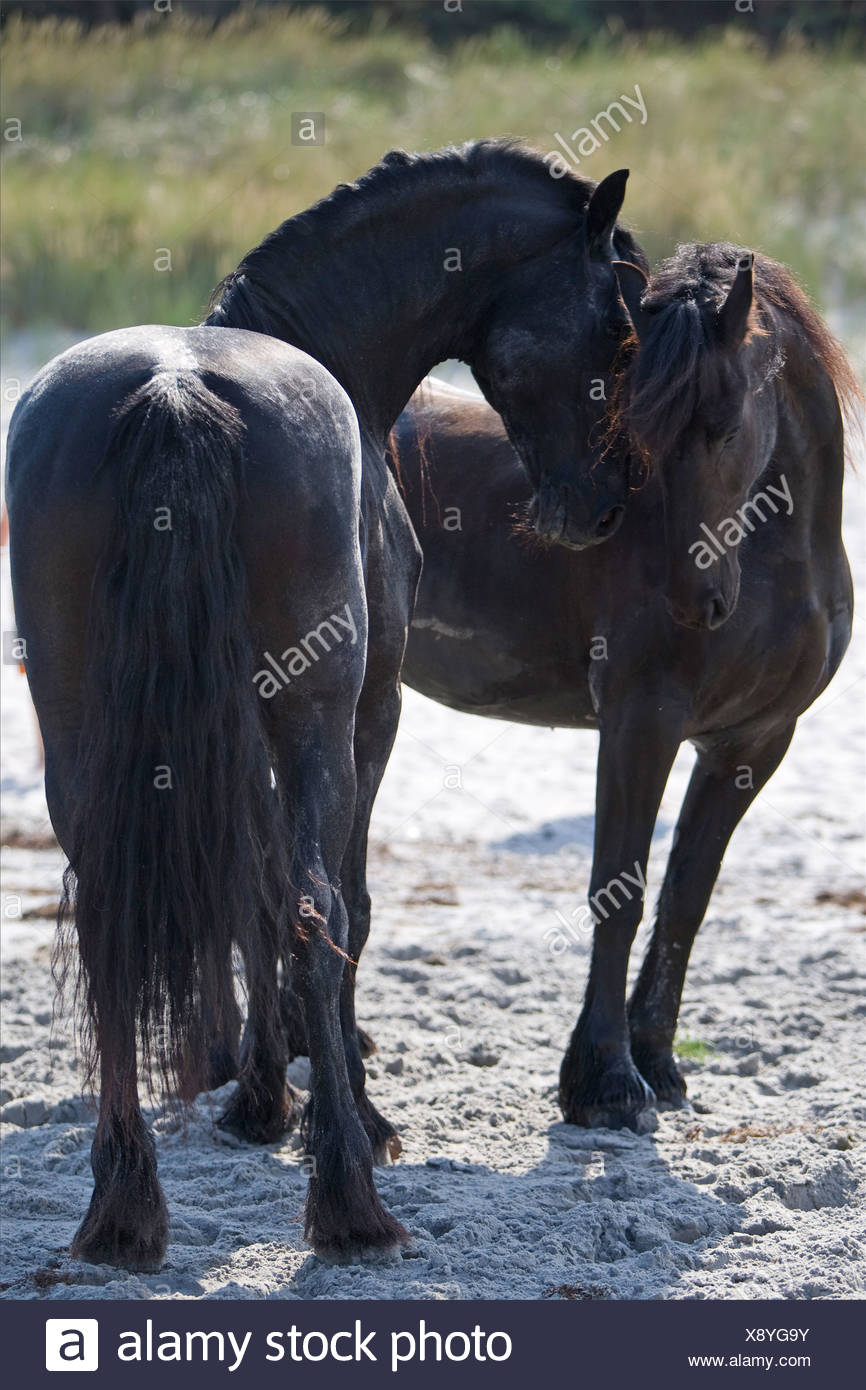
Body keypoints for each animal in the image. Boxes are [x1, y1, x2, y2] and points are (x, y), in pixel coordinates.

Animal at [5, 140, 642, 1269]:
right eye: (616, 323)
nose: (601, 505)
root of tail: (175, 389)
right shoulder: (368, 713)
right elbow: (334, 901)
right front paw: (330, 1102)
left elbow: (248, 891)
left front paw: (261, 1095)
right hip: (320, 715)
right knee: (316, 902)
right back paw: (349, 1198)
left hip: (83, 730)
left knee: (117, 921)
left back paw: (123, 1208)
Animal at [391, 242, 859, 1132]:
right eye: (632, 433)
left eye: (726, 426)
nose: (693, 600)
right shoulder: (642, 723)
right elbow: (621, 892)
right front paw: (605, 1082)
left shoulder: (751, 744)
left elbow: (685, 899)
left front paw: (658, 1063)